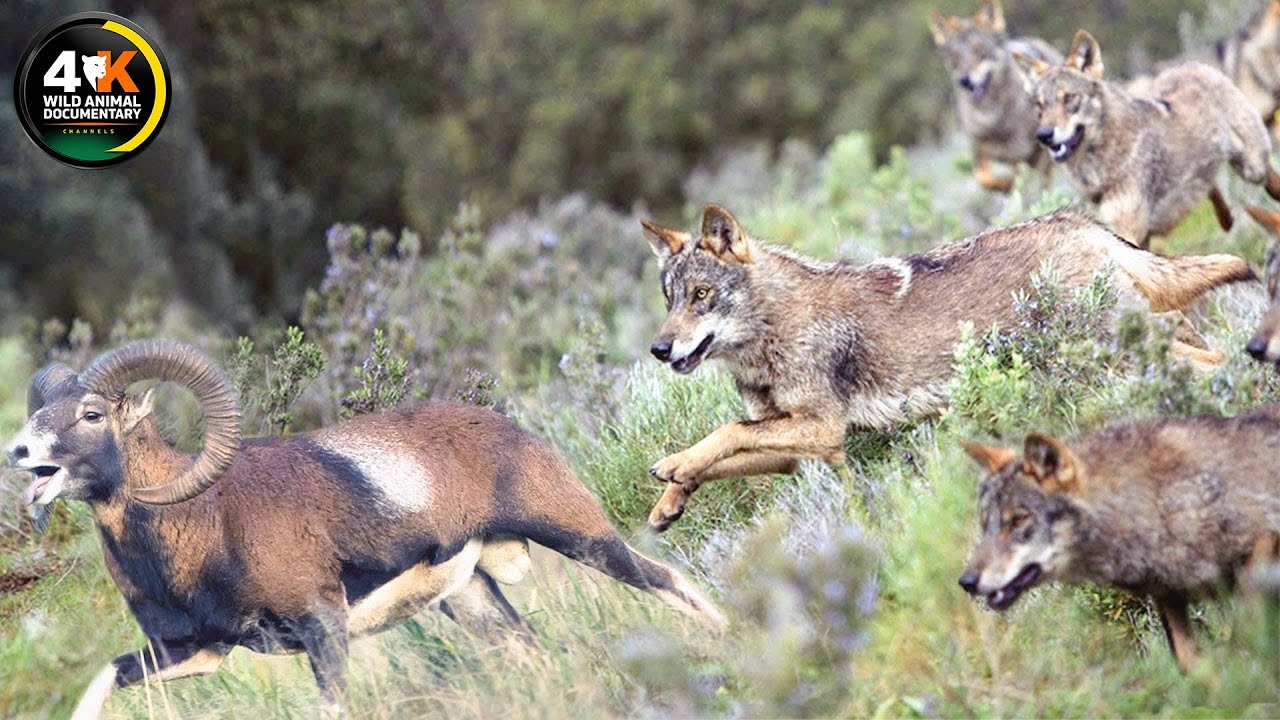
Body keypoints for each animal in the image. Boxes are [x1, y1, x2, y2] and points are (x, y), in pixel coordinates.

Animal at [640, 203, 1254, 531]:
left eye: (701, 295)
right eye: (669, 299)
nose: (659, 350)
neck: (773, 330)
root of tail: (1080, 222)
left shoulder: (822, 431)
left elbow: (724, 432)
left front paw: (672, 466)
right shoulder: (801, 448)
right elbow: (725, 450)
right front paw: (670, 499)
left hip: (1110, 353)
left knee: (1212, 358)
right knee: (1190, 333)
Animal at [929, 0, 1063, 192]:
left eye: (980, 51)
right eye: (955, 58)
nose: (964, 80)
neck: (992, 116)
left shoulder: (1034, 153)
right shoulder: (978, 150)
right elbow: (984, 178)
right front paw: (1005, 185)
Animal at [960, 411, 1280, 671]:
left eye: (1018, 520)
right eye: (986, 525)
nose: (966, 582)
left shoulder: (1261, 548)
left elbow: (1248, 638)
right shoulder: (1168, 594)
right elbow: (1190, 660)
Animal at [1016, 30, 1280, 248]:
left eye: (1069, 98)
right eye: (1039, 105)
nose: (1043, 135)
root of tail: (1190, 65)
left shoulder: (1128, 230)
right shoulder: (1130, 235)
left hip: (1251, 167)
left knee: (1266, 173)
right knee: (1211, 187)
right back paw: (1226, 218)